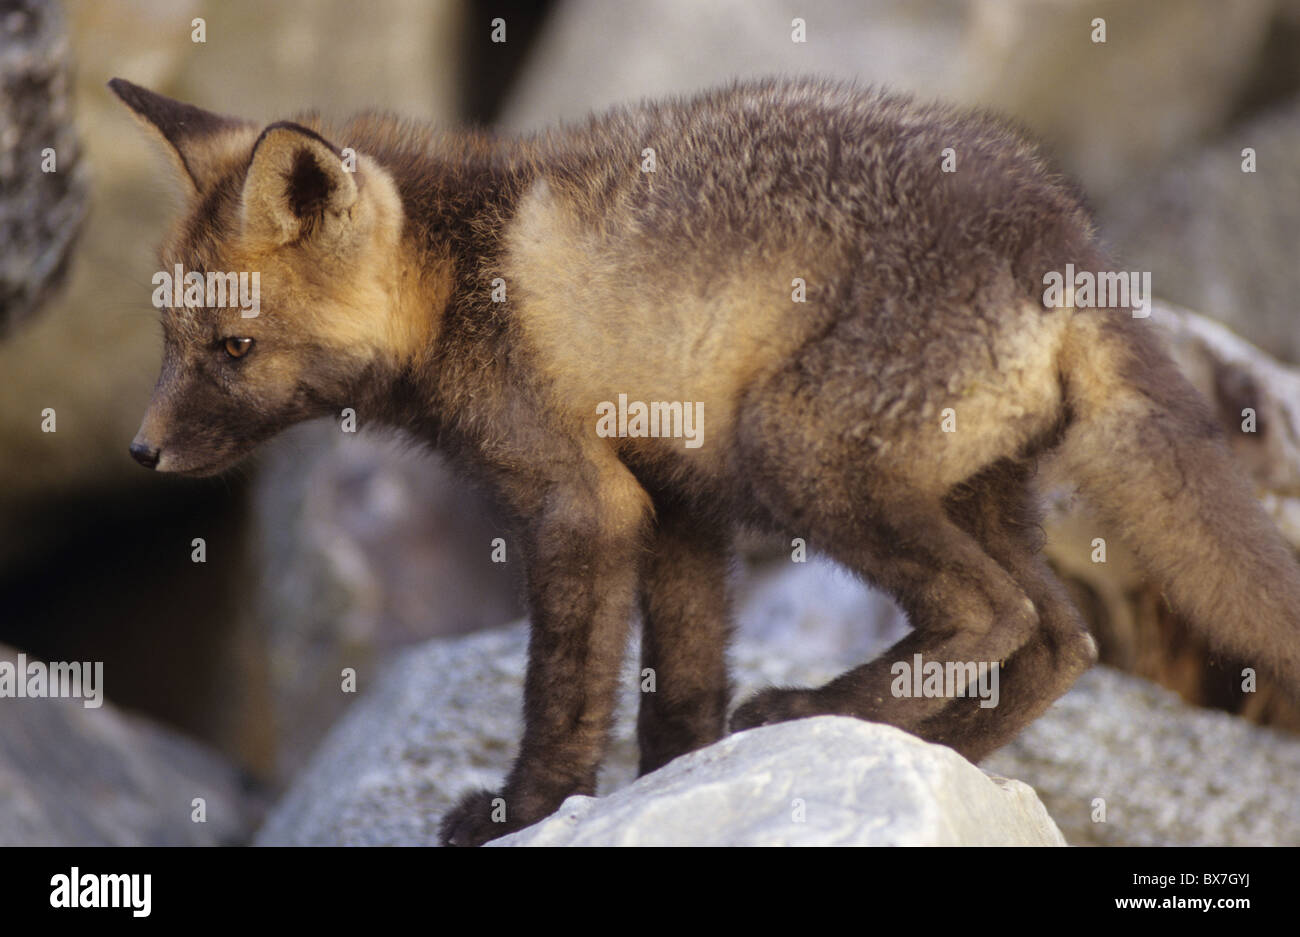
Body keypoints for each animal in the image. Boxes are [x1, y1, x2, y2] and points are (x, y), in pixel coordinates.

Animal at [109, 75, 1300, 846]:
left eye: (234, 349)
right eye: (169, 341)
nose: (144, 450)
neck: (458, 281)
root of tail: (1059, 237)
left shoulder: (584, 502)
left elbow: (561, 689)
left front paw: (524, 808)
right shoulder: (681, 505)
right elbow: (674, 688)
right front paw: (673, 781)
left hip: (801, 456)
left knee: (992, 613)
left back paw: (814, 710)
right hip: (970, 491)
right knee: (1062, 637)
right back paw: (942, 749)